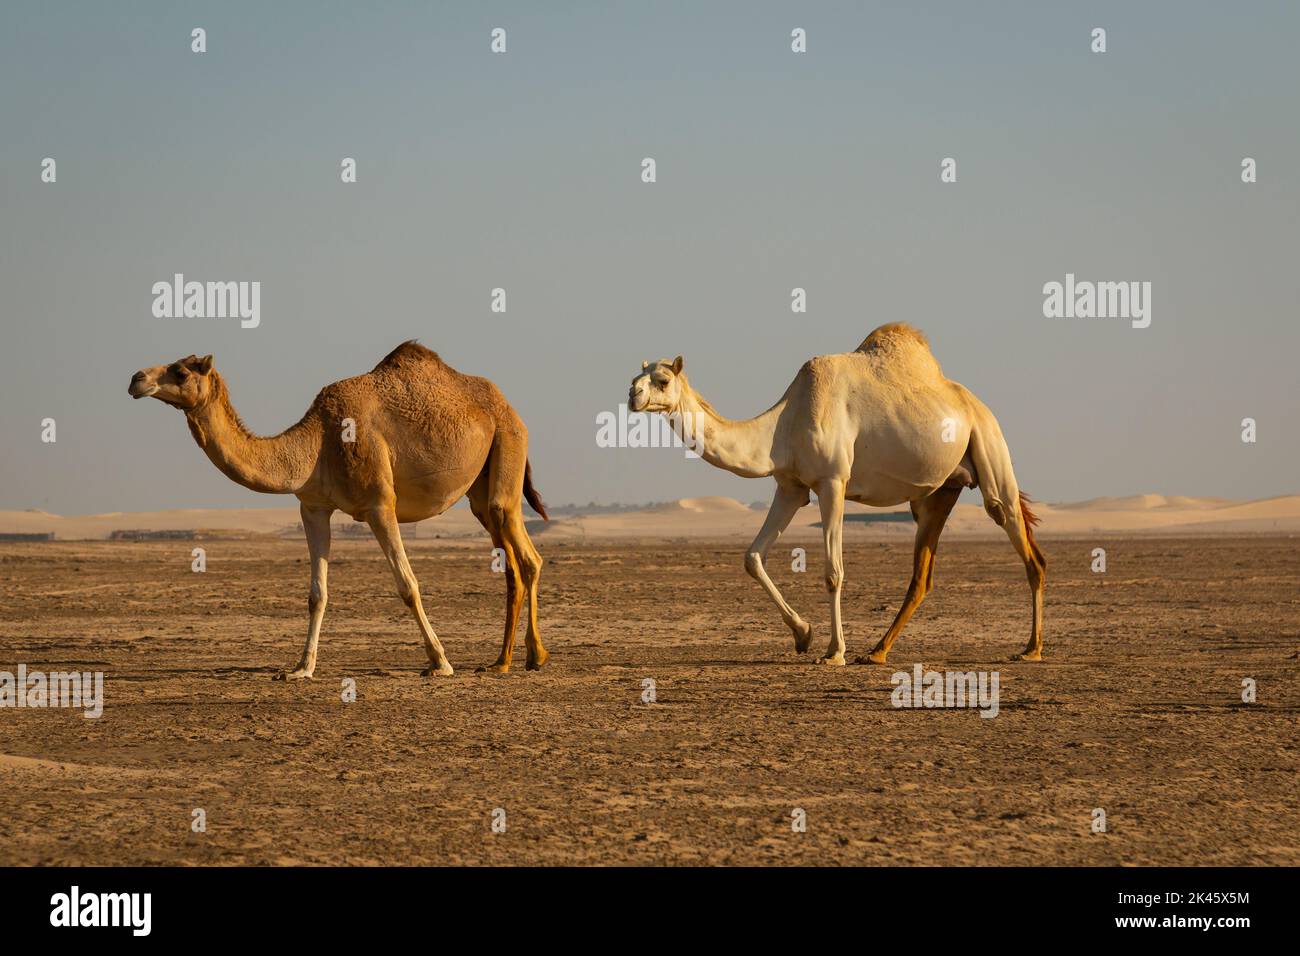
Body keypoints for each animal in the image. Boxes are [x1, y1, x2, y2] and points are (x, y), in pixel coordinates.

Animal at [128, 342, 549, 678]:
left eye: (181, 371)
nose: (135, 378)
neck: (318, 441)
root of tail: (507, 406)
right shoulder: (313, 507)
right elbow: (317, 593)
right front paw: (300, 668)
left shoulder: (380, 503)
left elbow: (408, 584)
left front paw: (440, 662)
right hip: (480, 491)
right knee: (512, 561)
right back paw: (505, 661)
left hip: (508, 446)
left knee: (523, 550)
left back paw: (533, 657)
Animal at [627, 323, 1046, 665]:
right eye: (636, 375)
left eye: (662, 380)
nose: (632, 395)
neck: (783, 425)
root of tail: (978, 406)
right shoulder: (791, 487)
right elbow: (753, 556)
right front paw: (803, 635)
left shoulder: (833, 482)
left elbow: (833, 571)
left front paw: (834, 652)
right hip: (940, 491)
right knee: (922, 576)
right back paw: (877, 652)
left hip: (990, 447)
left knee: (1021, 539)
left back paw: (1031, 649)